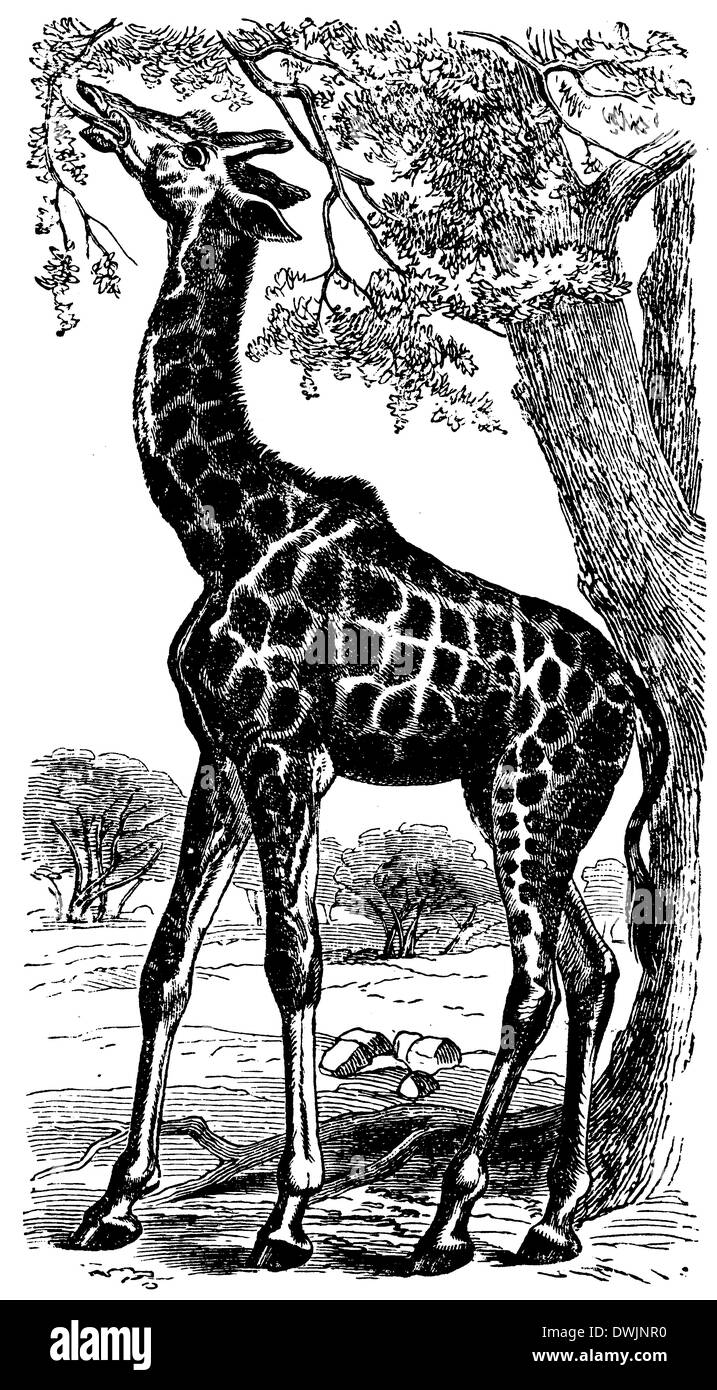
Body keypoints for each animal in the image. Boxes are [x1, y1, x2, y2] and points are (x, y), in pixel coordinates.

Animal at [69, 81, 669, 1275]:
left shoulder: (286, 750)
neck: (217, 523)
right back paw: (550, 1217)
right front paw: (115, 1202)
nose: (97, 101)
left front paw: (286, 1214)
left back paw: (447, 1221)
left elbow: (292, 960)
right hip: (526, 804)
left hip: (529, 797)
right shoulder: (217, 752)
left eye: (184, 142)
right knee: (591, 970)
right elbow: (167, 962)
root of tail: (634, 692)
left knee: (535, 981)